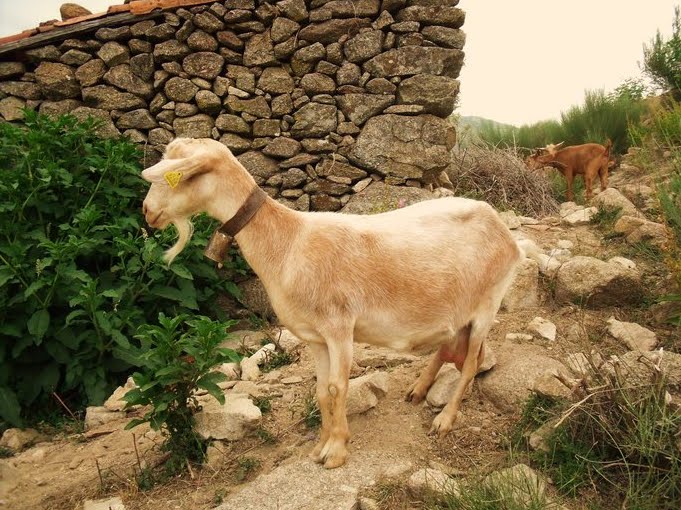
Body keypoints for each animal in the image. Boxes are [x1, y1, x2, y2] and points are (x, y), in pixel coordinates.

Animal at [141, 138, 524, 469]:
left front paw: (336, 451)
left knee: (470, 364)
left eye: (180, 174)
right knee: (447, 349)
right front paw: (320, 447)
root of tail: (501, 226)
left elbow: (339, 387)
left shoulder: (339, 327)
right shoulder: (315, 337)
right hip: (456, 313)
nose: (147, 212)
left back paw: (445, 419)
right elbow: (322, 392)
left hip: (488, 304)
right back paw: (418, 389)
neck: (287, 242)